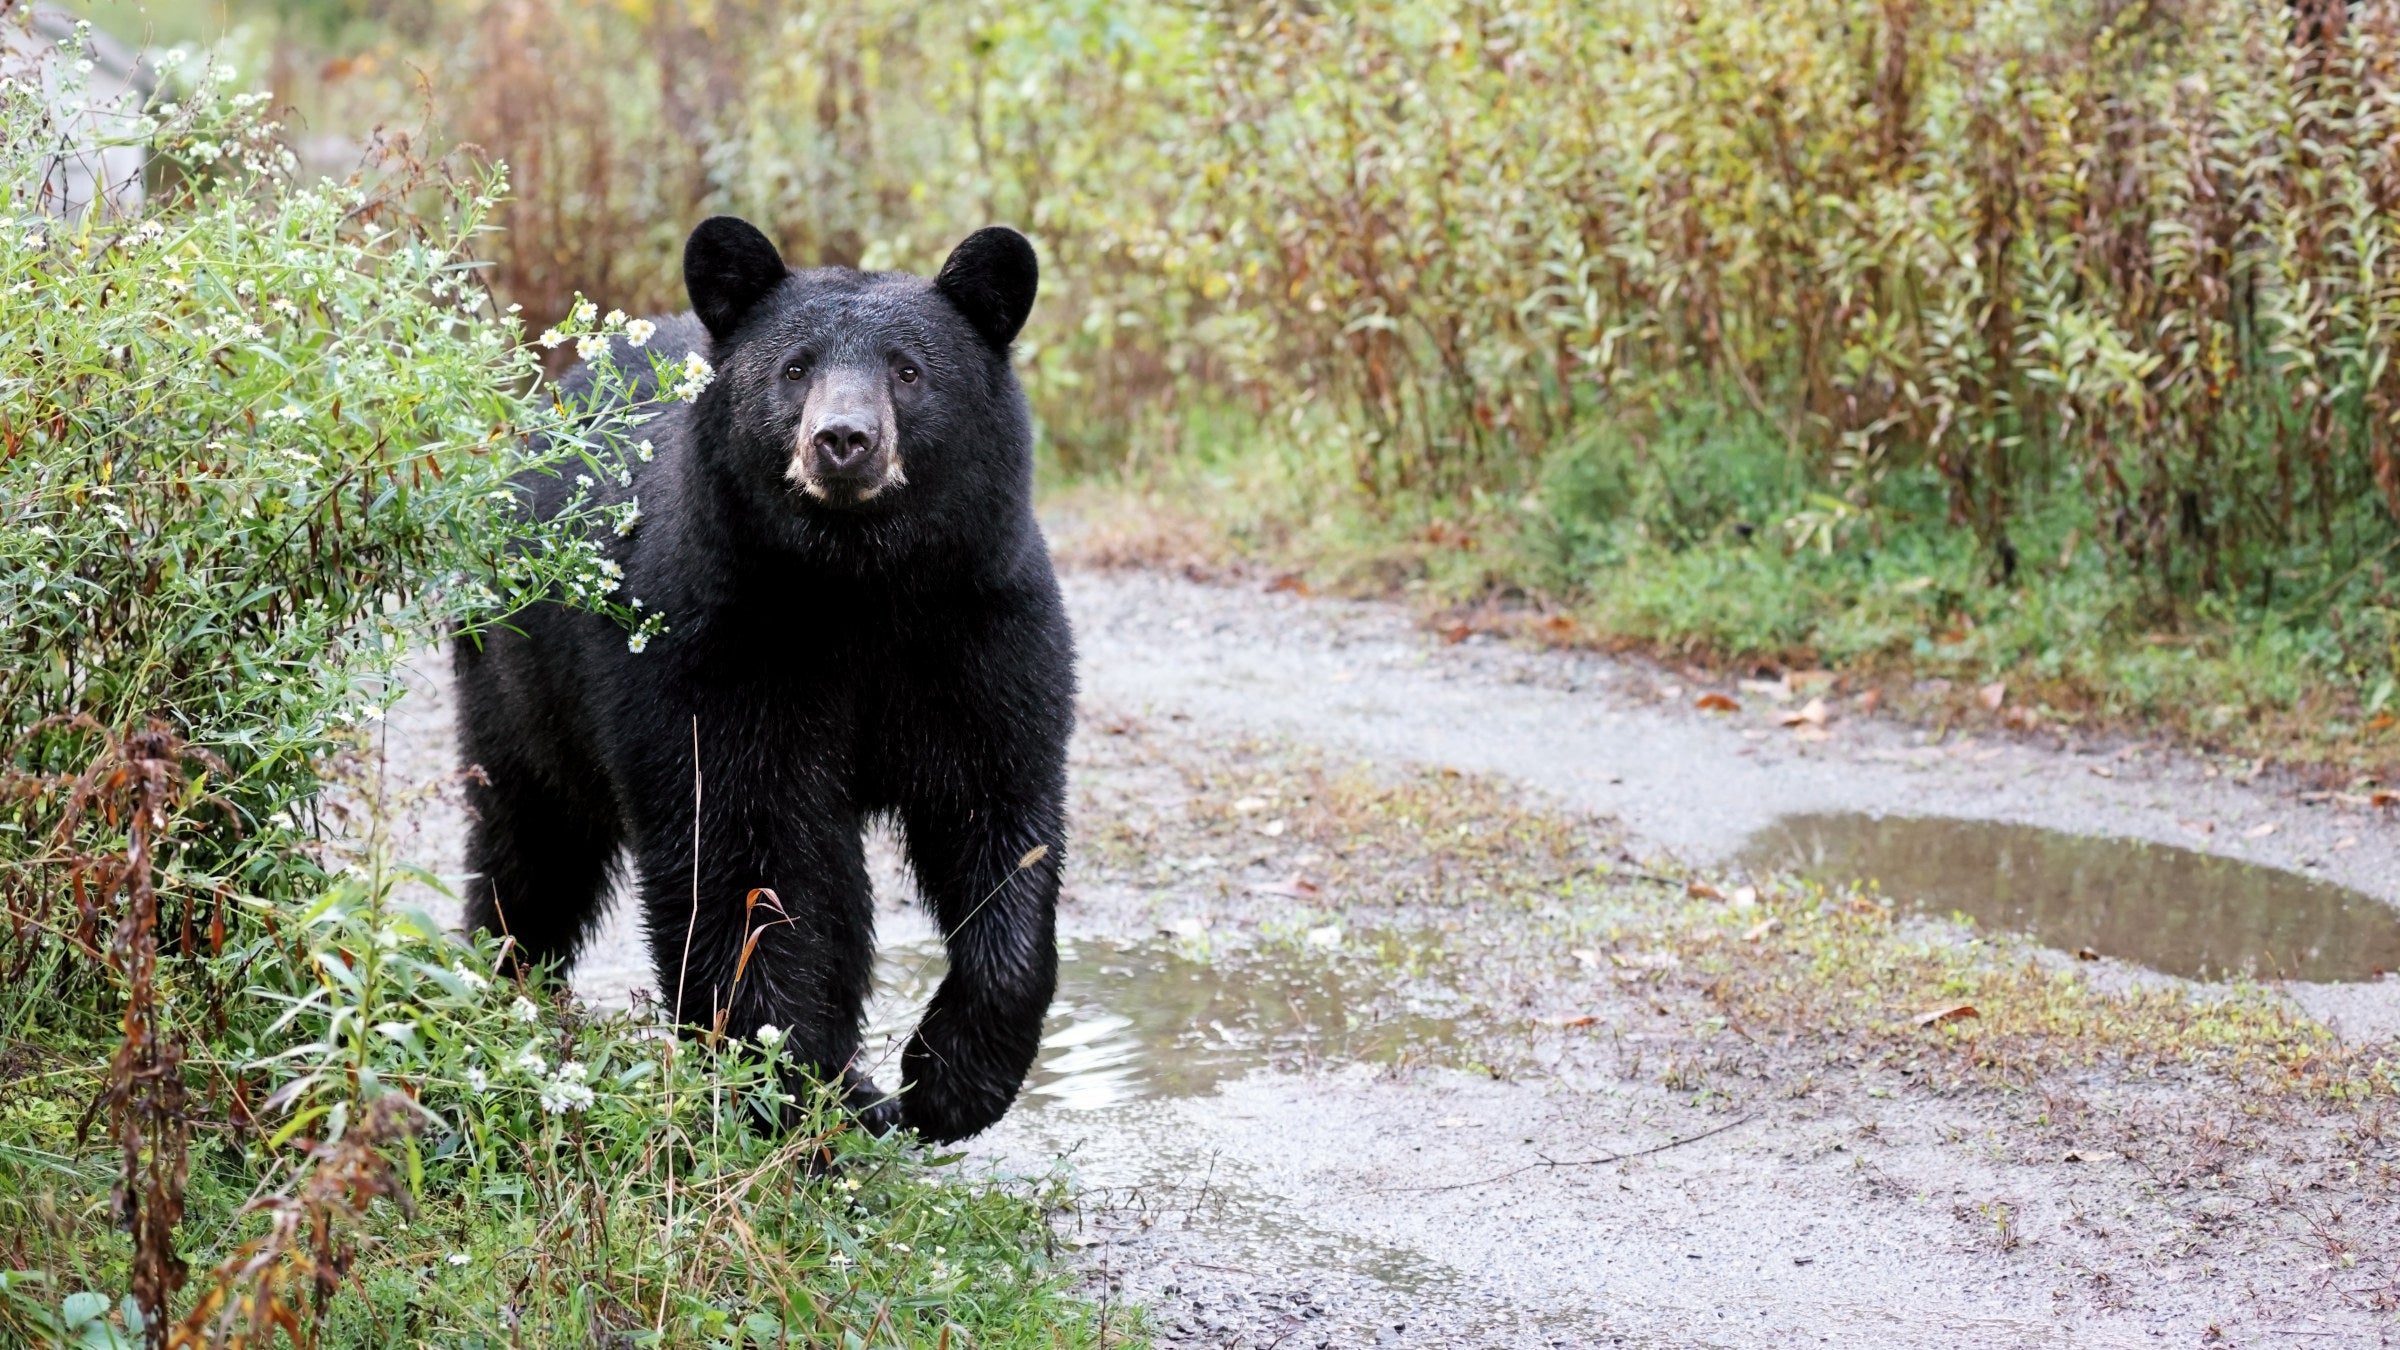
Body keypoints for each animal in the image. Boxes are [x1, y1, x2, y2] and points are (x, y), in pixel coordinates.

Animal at [453, 217, 1074, 1144]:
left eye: (908, 369)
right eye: (794, 368)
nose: (843, 440)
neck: (858, 586)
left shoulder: (982, 631)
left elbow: (1000, 820)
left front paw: (949, 1081)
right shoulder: (714, 641)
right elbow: (740, 845)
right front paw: (784, 1085)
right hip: (516, 678)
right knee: (529, 844)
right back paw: (501, 979)